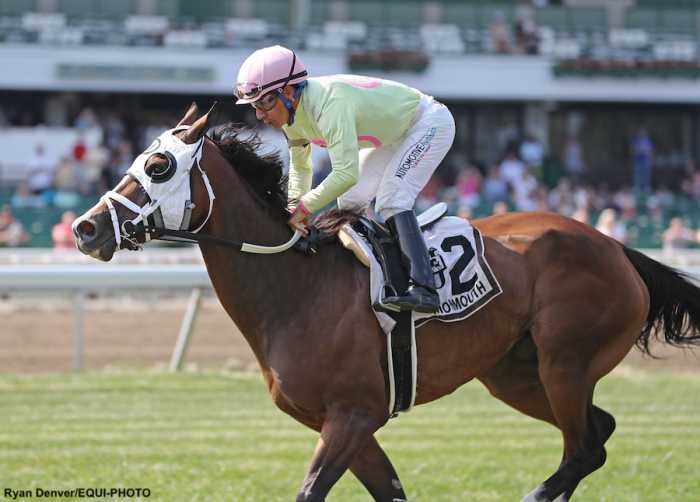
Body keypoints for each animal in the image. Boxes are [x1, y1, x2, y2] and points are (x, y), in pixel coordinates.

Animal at [72, 103, 700, 502]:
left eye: (159, 166)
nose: (85, 228)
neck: (298, 289)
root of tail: (618, 247)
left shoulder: (353, 415)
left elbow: (311, 491)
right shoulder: (341, 422)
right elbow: (390, 493)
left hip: (565, 363)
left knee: (583, 449)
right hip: (515, 375)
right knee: (598, 432)